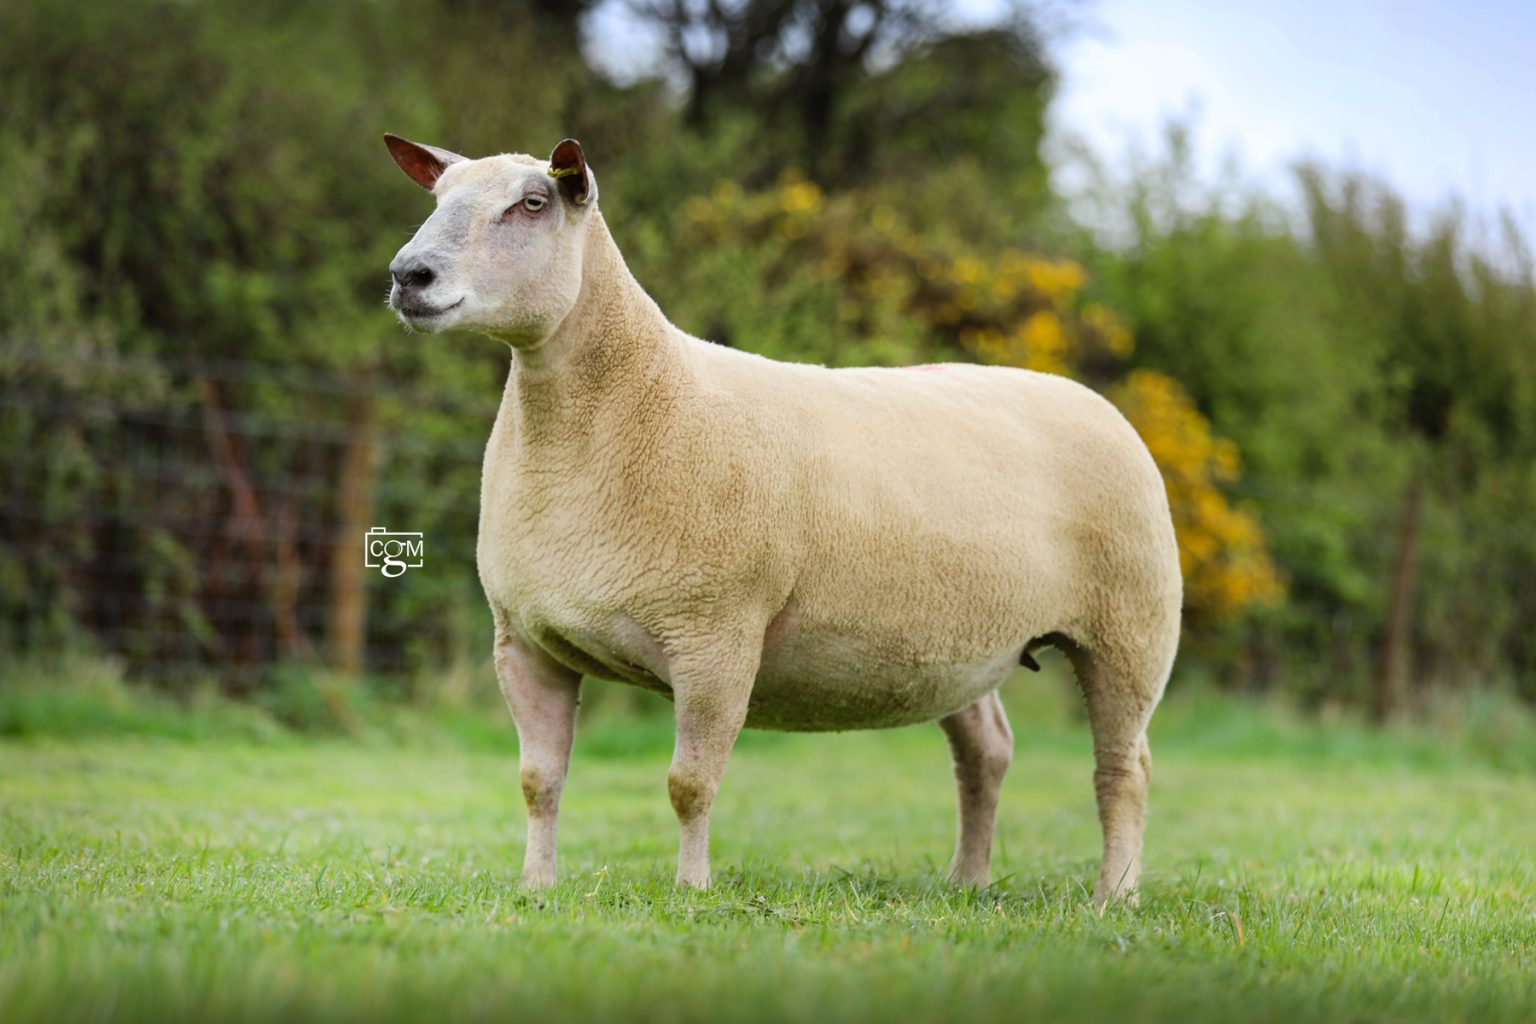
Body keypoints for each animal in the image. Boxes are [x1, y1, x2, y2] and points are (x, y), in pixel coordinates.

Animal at [383, 134, 1183, 903]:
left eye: (532, 202)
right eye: (438, 197)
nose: (408, 275)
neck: (628, 403)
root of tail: (1089, 399)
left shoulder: (716, 636)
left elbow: (689, 784)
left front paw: (691, 890)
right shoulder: (524, 642)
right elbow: (537, 781)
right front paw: (536, 886)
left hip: (1130, 625)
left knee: (1125, 770)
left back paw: (1114, 895)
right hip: (963, 642)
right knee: (987, 752)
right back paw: (967, 881)